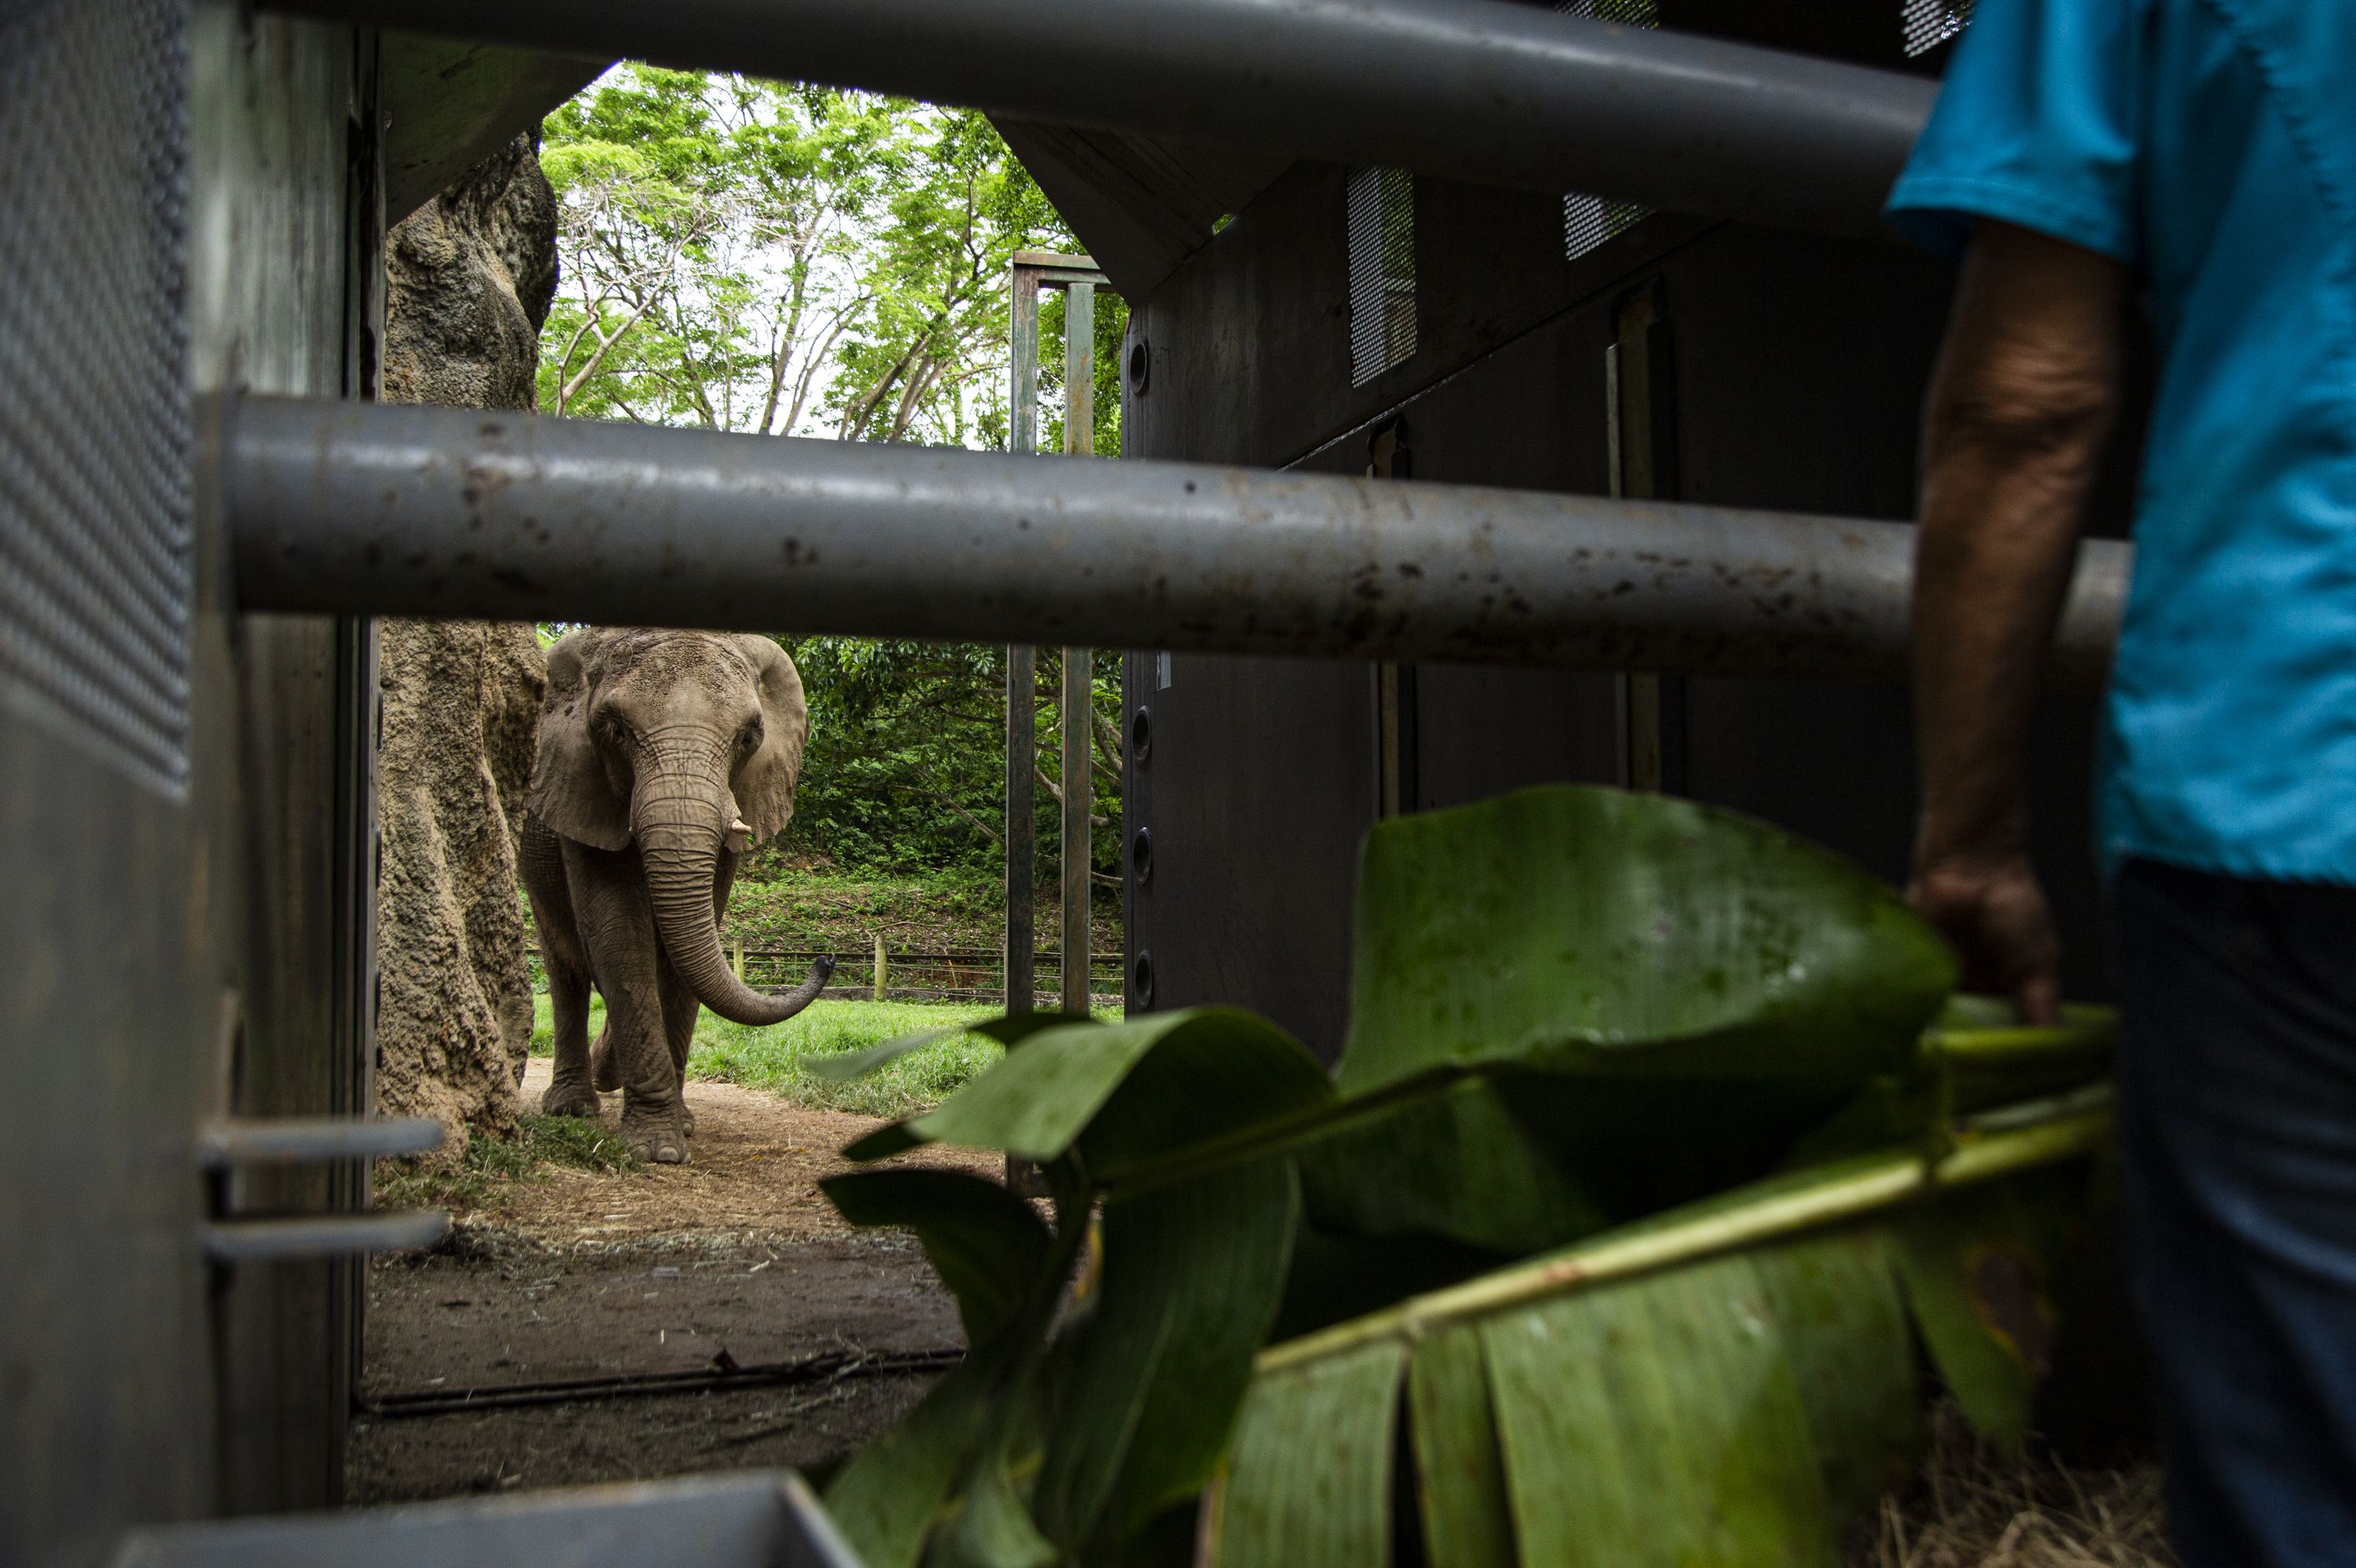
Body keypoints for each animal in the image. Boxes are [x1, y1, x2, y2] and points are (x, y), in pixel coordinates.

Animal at [521, 627, 835, 1162]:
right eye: (616, 731)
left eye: (748, 738)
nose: (825, 960)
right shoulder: (581, 794)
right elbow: (619, 936)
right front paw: (658, 1150)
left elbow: (686, 944)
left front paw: (682, 1126)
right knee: (567, 968)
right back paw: (572, 1106)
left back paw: (608, 1077)